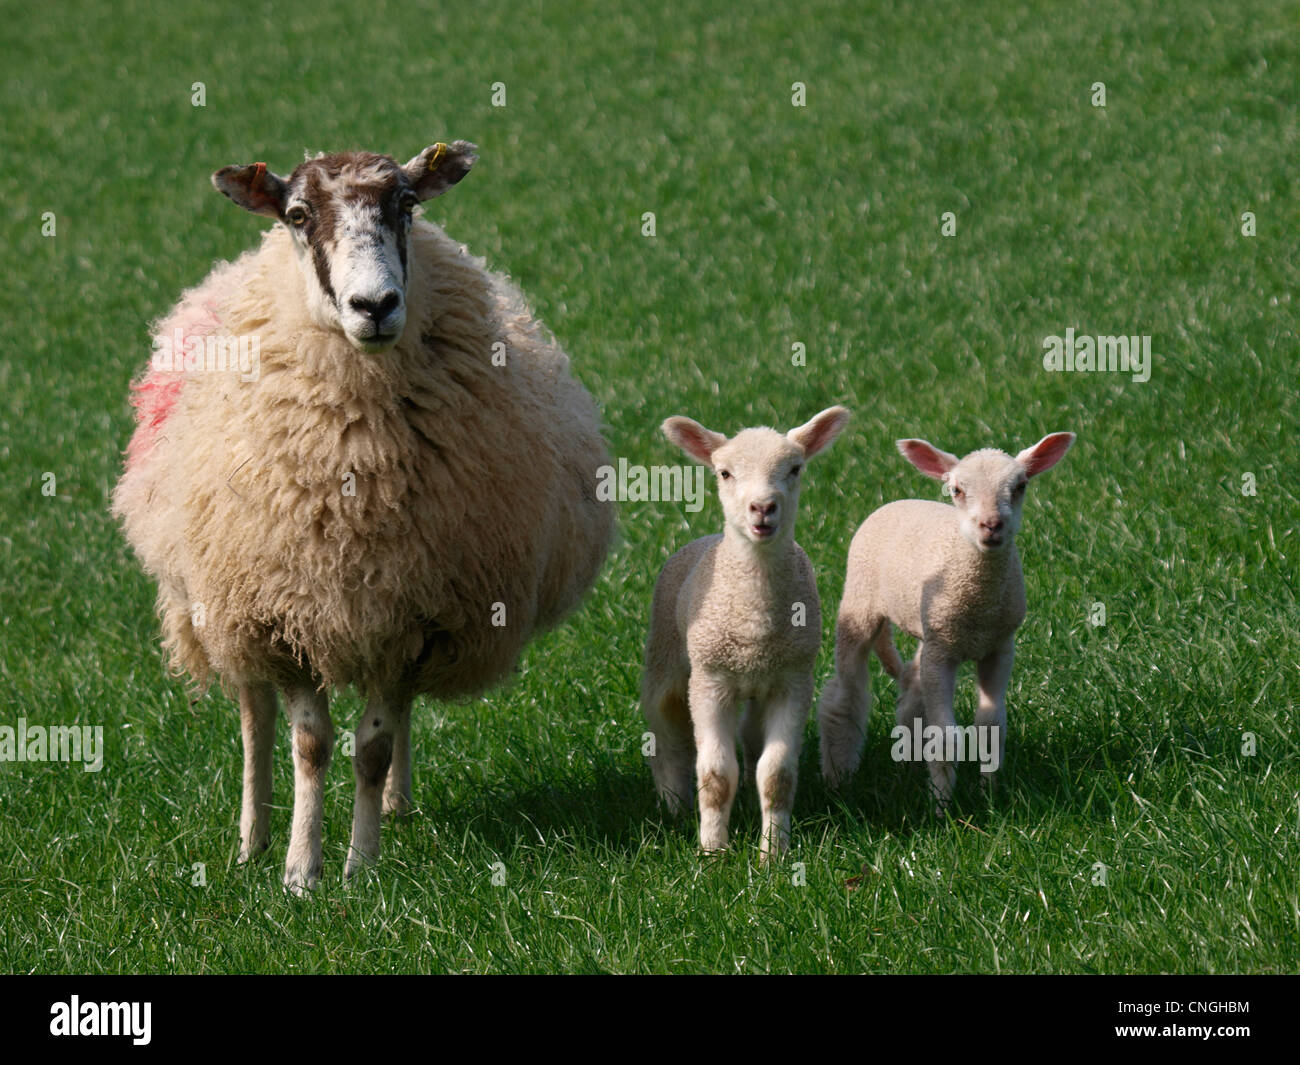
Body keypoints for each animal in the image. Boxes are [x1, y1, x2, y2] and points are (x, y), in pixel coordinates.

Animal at [111, 141, 615, 891]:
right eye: (297, 214)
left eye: (407, 204)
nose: (375, 305)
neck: (359, 465)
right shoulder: (279, 613)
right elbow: (310, 744)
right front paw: (300, 870)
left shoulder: (419, 614)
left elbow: (372, 748)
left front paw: (361, 866)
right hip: (218, 600)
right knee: (253, 715)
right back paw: (252, 836)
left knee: (390, 726)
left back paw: (396, 808)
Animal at [641, 406, 850, 860]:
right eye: (724, 473)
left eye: (795, 468)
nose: (763, 507)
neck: (755, 623)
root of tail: (705, 539)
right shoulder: (710, 682)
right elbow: (716, 775)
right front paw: (712, 853)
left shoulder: (793, 681)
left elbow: (776, 774)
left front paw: (773, 854)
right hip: (665, 658)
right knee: (667, 734)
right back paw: (673, 807)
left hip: (758, 689)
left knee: (752, 744)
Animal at [817, 432, 1075, 808]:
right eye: (956, 490)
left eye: (1020, 486)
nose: (992, 525)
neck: (979, 605)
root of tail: (898, 502)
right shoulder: (943, 653)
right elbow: (945, 735)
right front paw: (941, 806)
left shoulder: (998, 647)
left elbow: (991, 726)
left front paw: (990, 794)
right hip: (860, 602)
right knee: (843, 696)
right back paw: (839, 776)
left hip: (928, 630)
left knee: (912, 688)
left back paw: (908, 766)